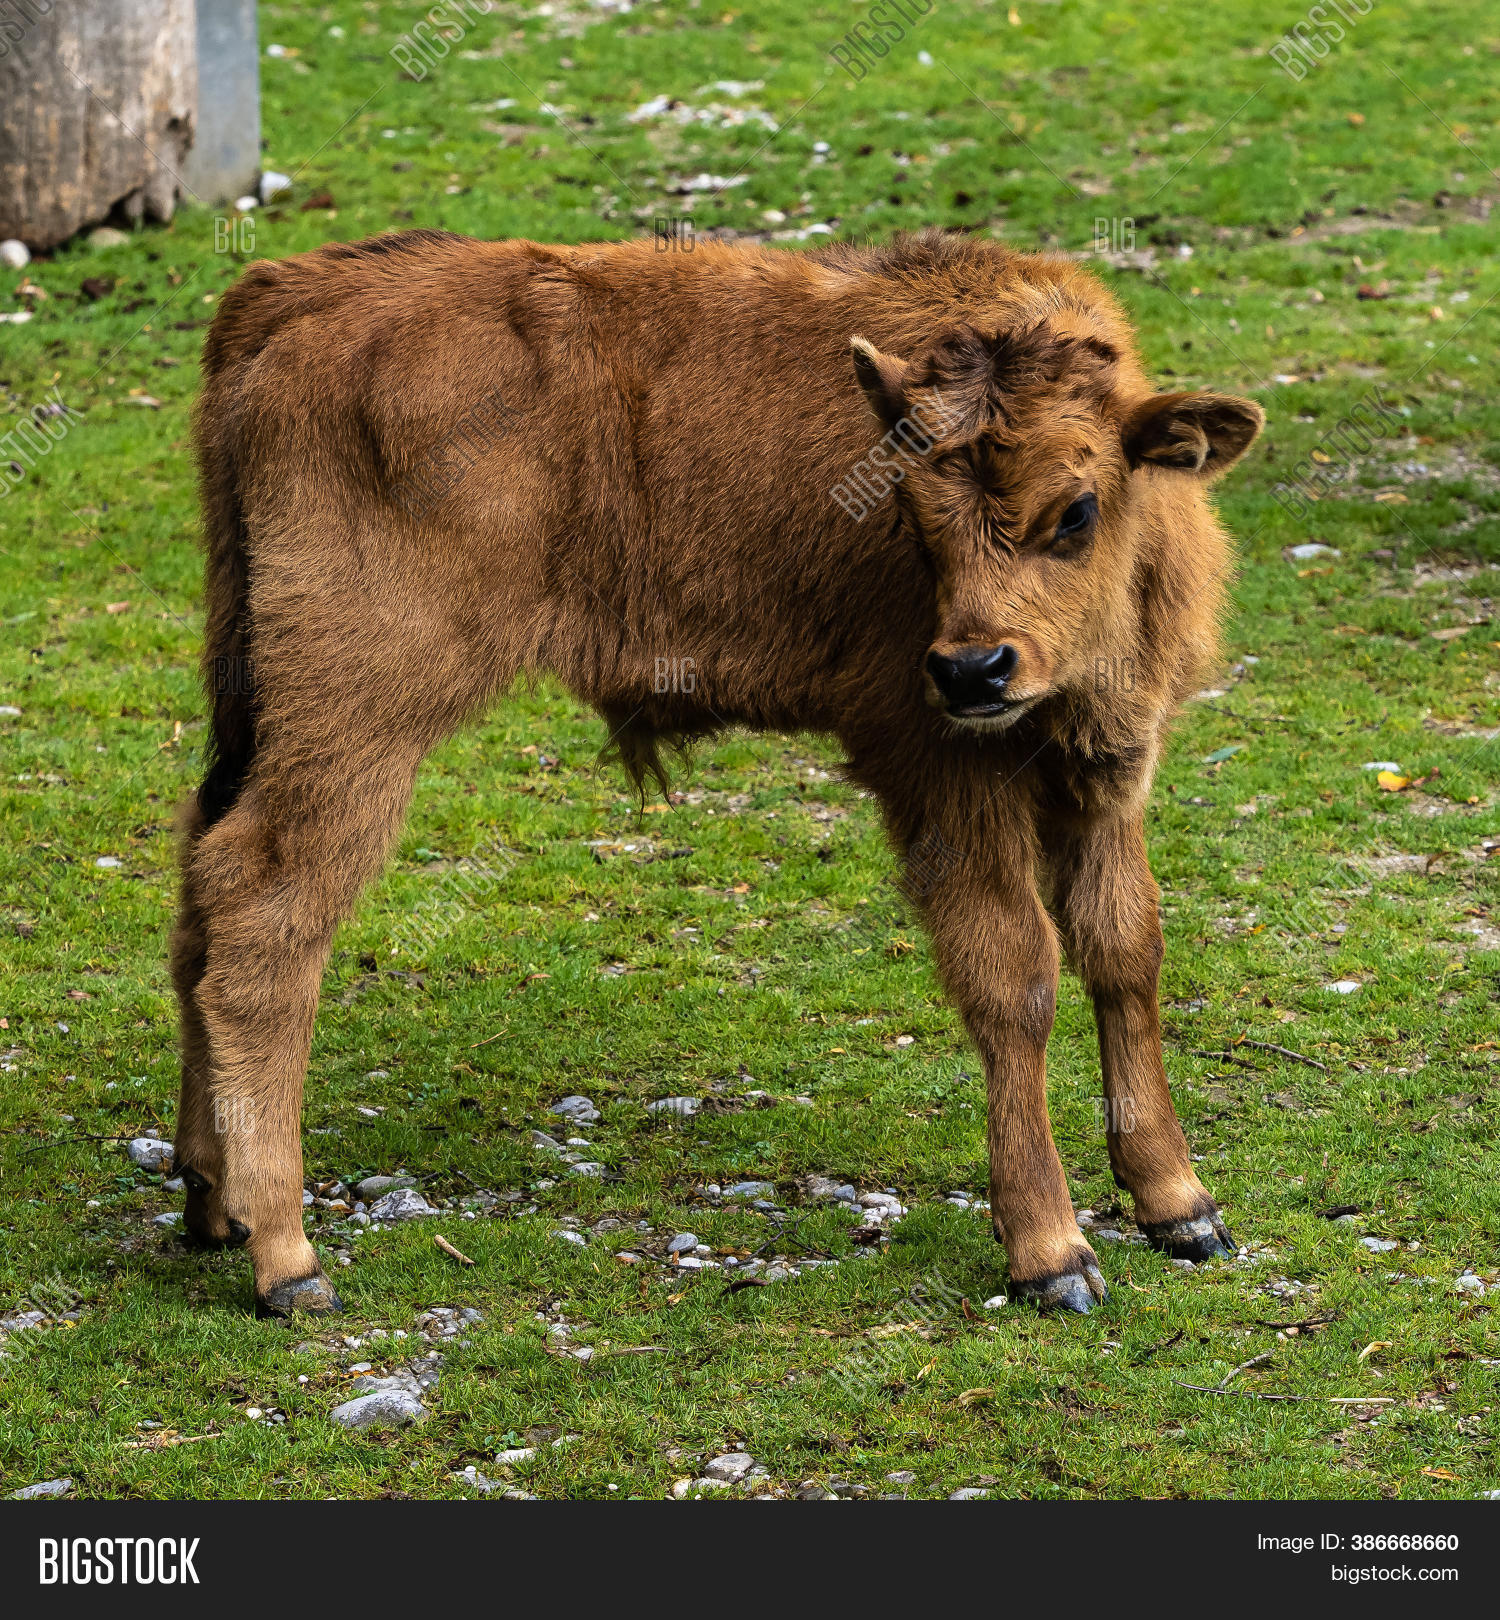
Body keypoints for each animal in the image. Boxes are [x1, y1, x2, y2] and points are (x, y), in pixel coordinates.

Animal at [172, 227, 1263, 1317]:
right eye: (913, 515)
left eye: (1077, 510)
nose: (972, 670)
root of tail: (293, 290)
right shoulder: (948, 782)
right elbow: (1017, 979)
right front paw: (1052, 1249)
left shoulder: (1110, 775)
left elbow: (1124, 949)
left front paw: (1180, 1205)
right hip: (357, 719)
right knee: (263, 913)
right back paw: (288, 1257)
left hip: (257, 707)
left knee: (199, 887)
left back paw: (211, 1200)